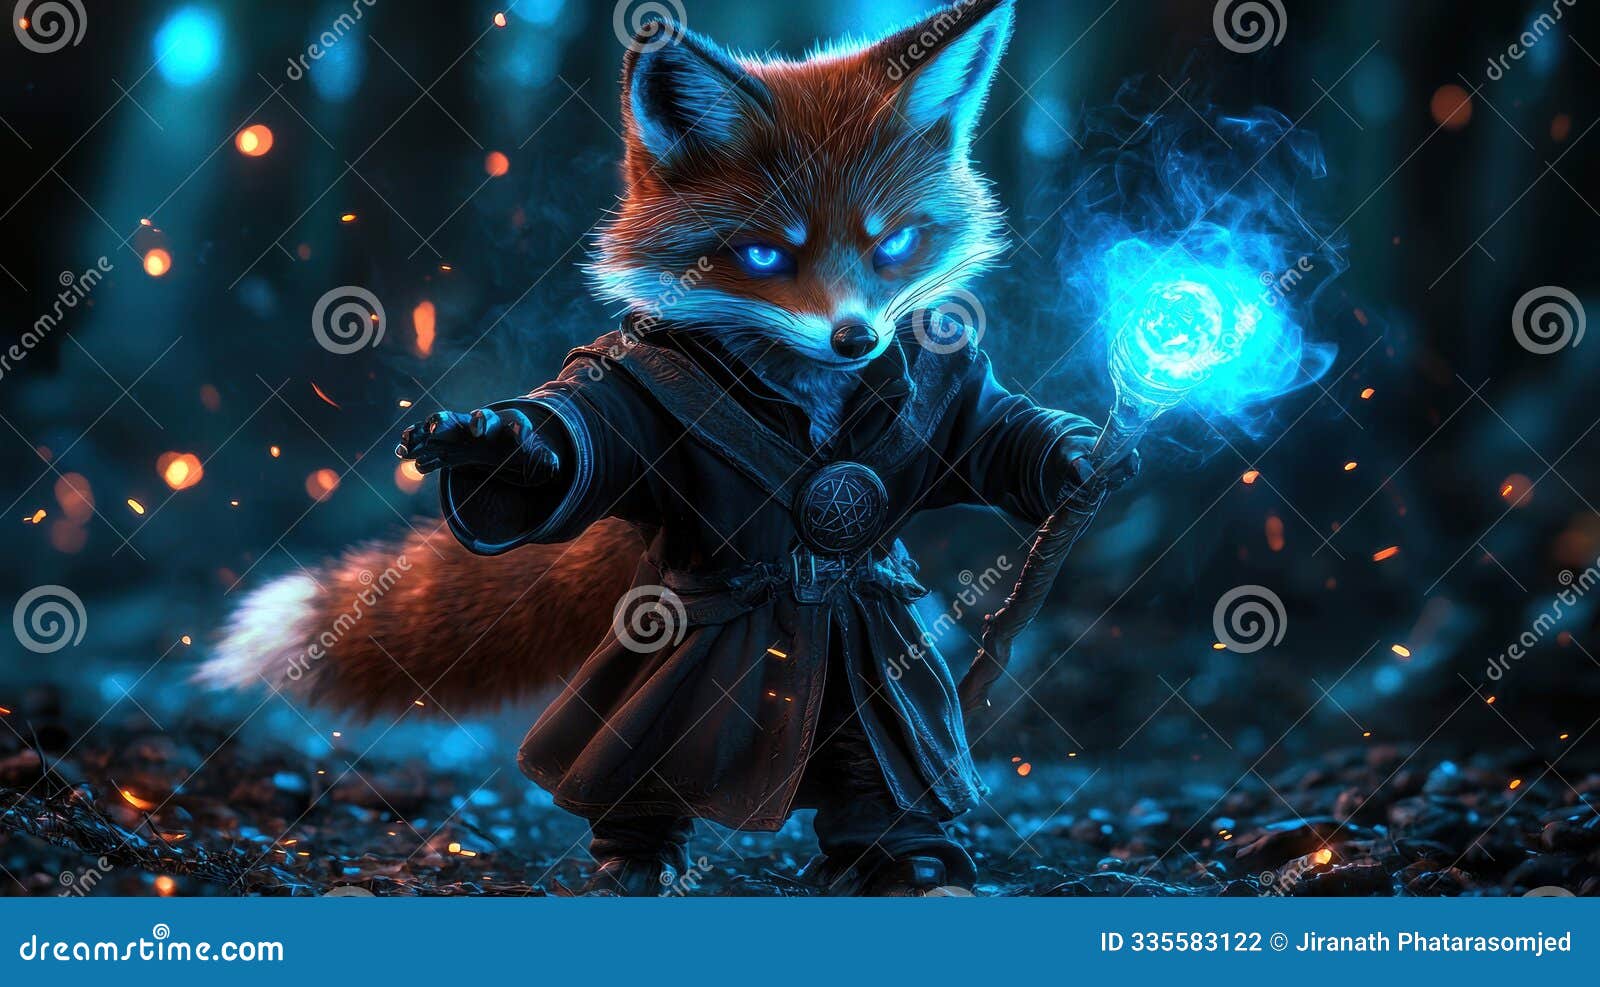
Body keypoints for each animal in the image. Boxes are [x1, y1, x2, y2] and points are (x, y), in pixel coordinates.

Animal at [204, 0, 1136, 896]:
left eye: (894, 244)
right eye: (764, 253)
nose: (856, 339)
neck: (808, 393)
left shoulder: (946, 390)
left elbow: (986, 437)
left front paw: (1078, 459)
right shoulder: (630, 398)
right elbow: (584, 447)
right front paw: (504, 450)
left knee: (869, 757)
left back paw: (901, 861)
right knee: (633, 780)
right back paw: (634, 860)